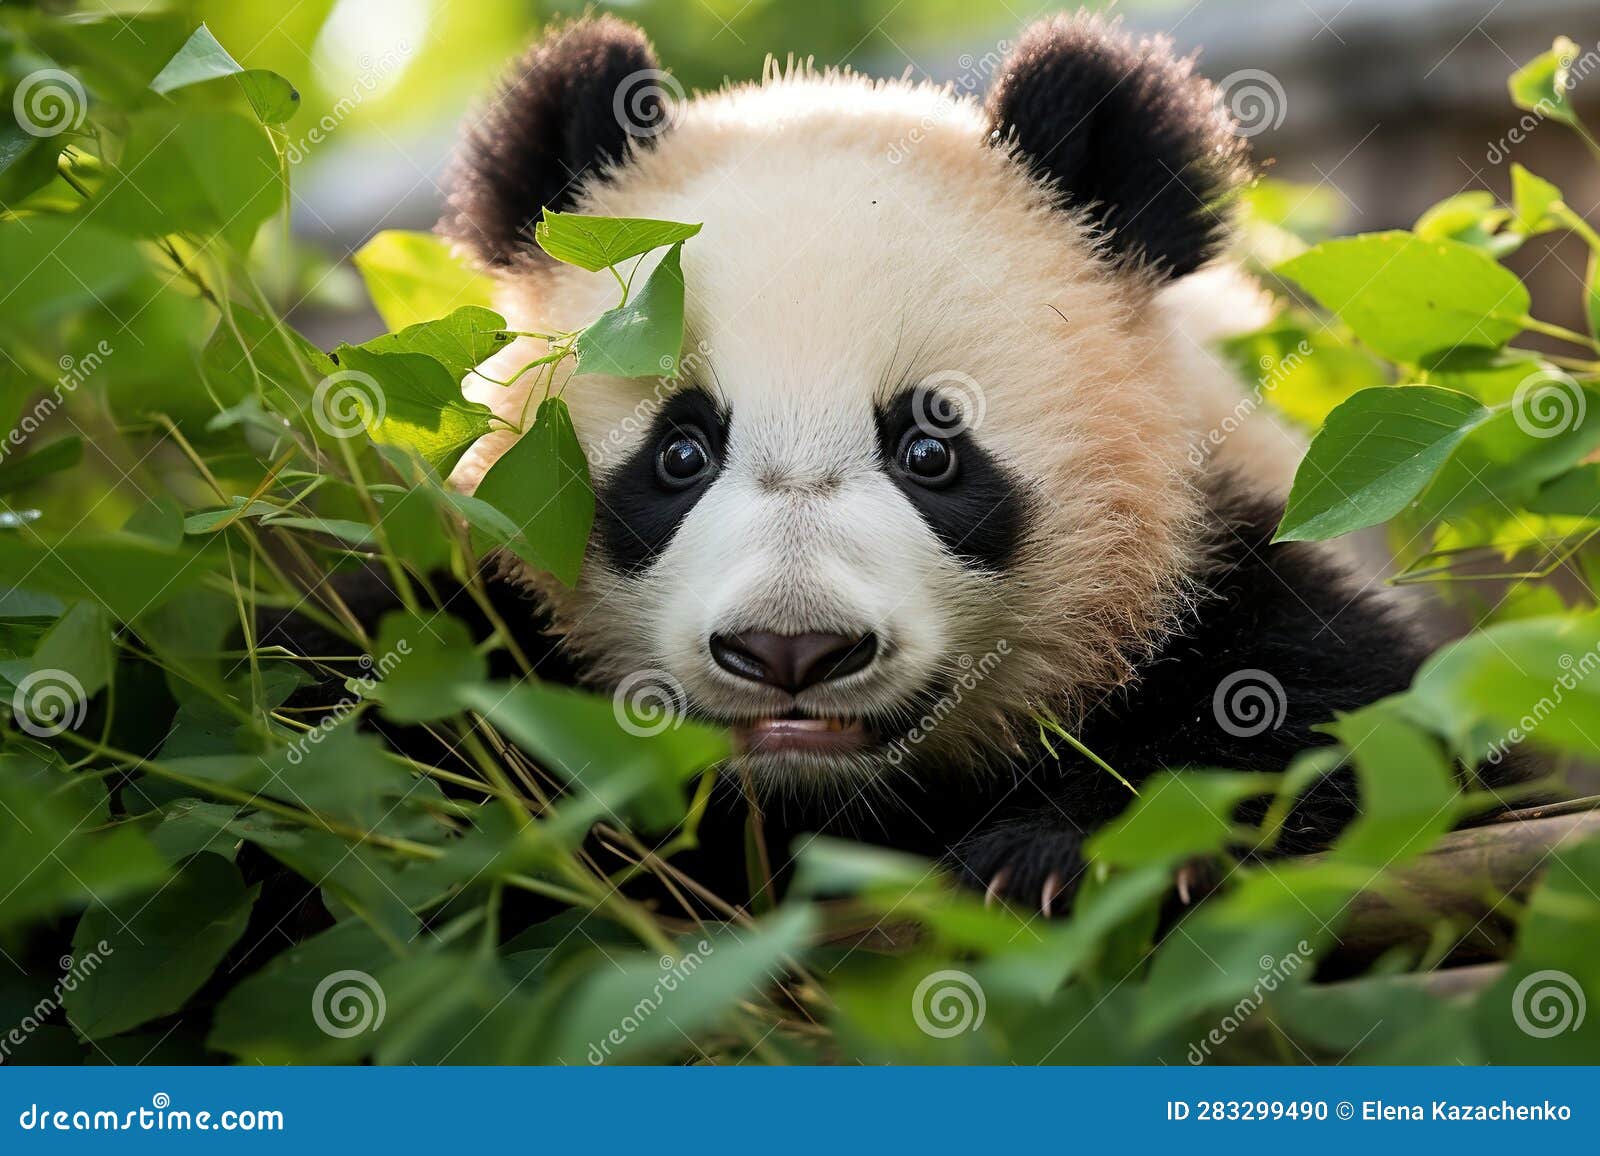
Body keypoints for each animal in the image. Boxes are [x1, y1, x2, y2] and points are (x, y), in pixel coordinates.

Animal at [281, 13, 1475, 914]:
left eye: (930, 448)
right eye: (680, 452)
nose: (791, 649)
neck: (826, 799)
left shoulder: (1226, 563)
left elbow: (1340, 729)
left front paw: (1052, 859)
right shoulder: (470, 612)